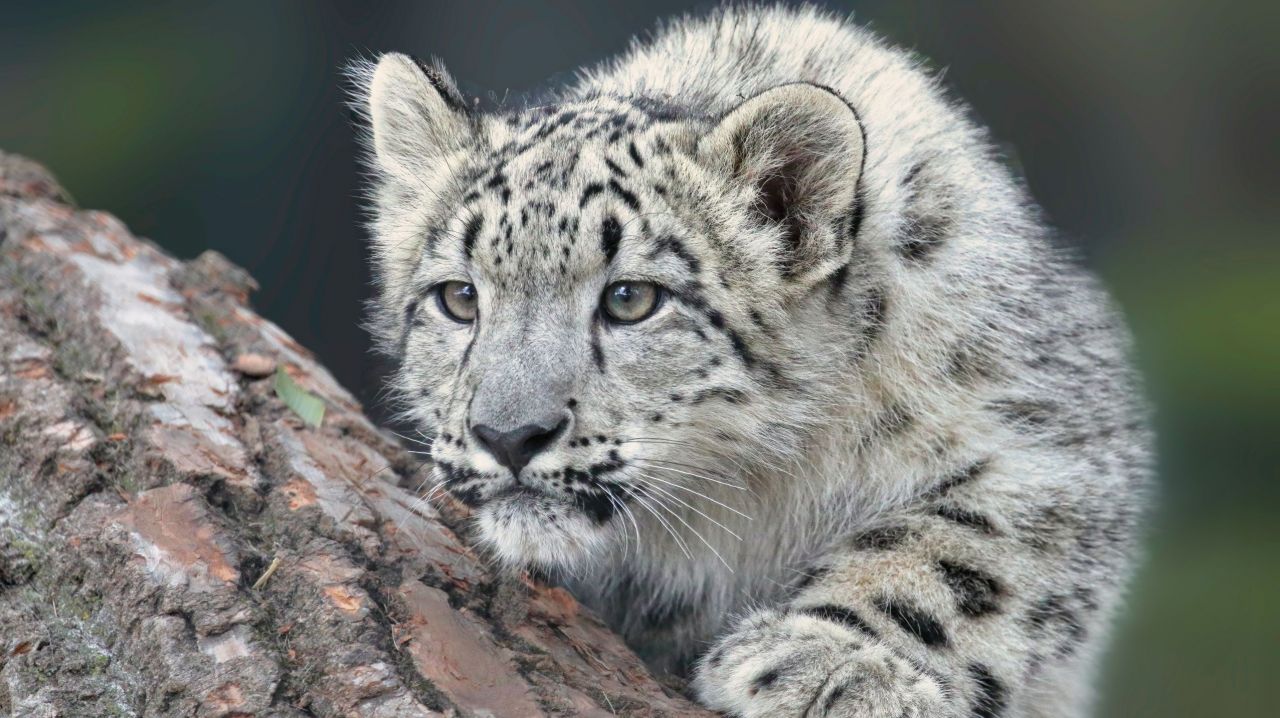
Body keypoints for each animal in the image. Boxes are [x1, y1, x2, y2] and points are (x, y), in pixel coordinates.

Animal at [352, 4, 1152, 716]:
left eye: (631, 298)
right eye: (459, 297)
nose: (509, 436)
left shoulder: (1049, 434)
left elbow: (959, 547)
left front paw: (834, 664)